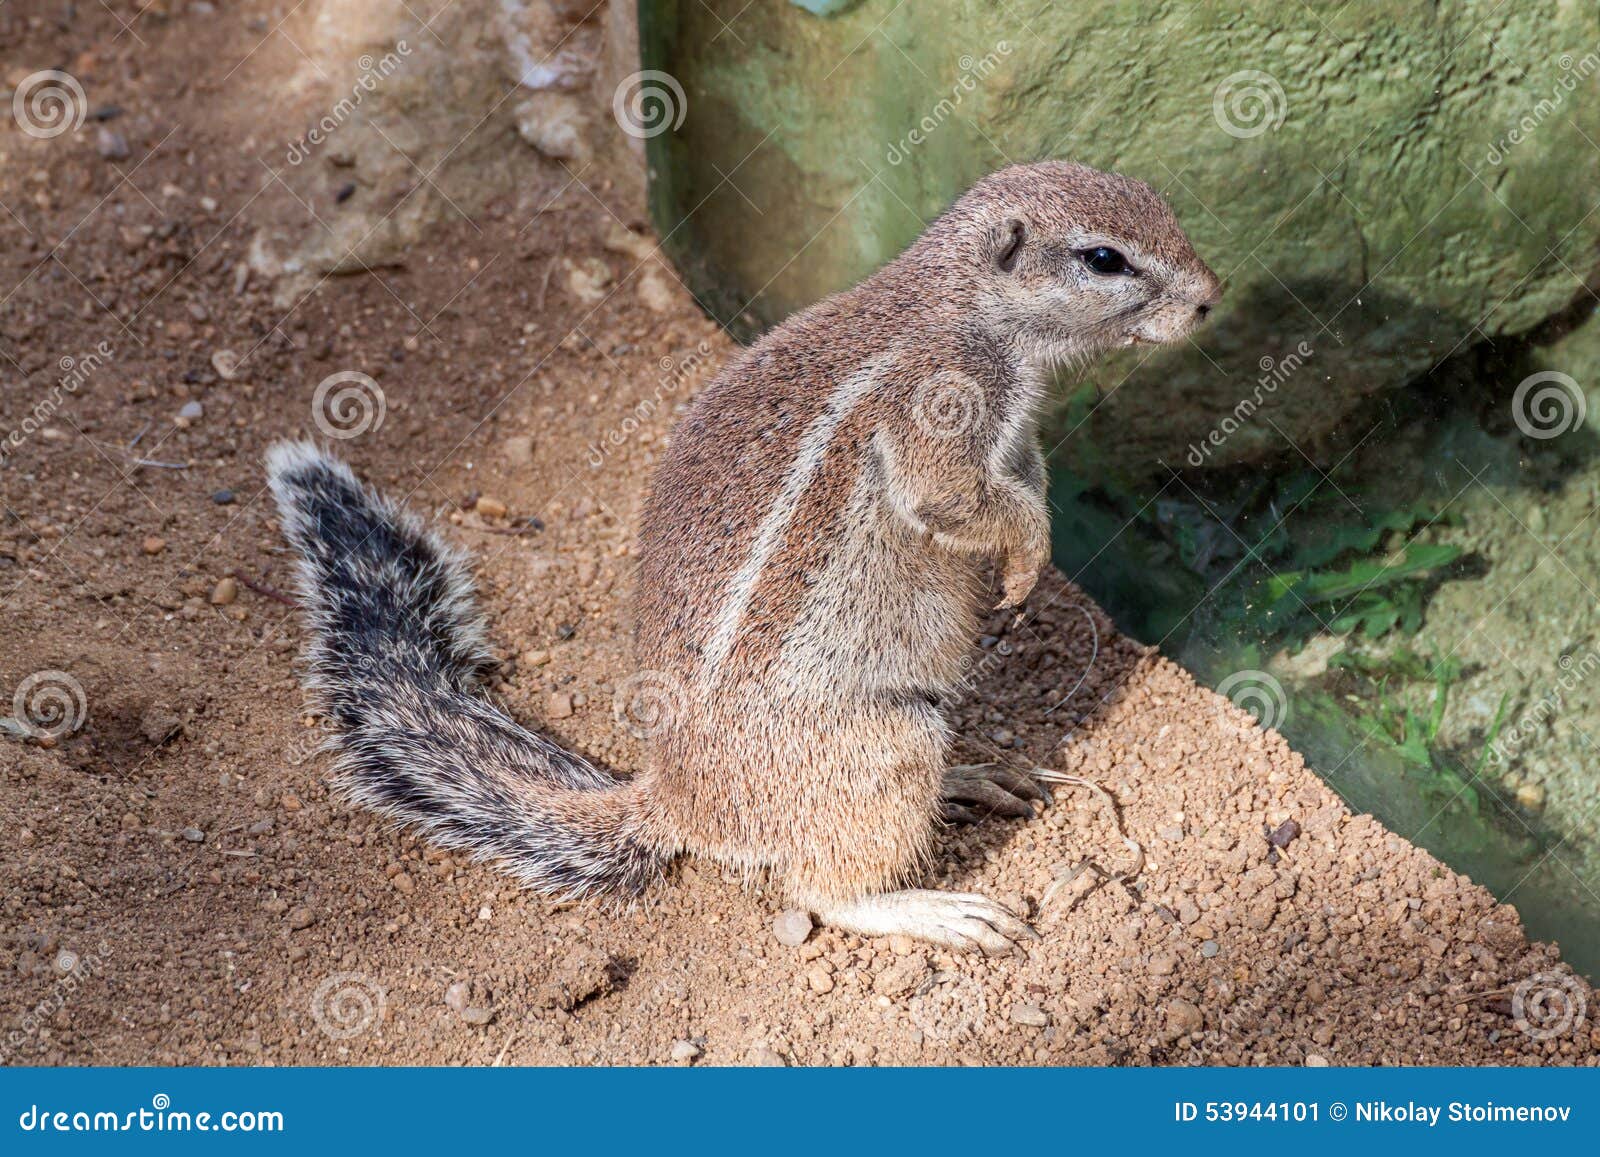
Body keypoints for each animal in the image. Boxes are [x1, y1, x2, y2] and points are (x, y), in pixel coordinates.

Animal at [266, 161, 1221, 953]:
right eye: (1103, 258)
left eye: (1159, 198)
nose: (1213, 296)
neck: (964, 306)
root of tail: (676, 799)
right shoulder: (939, 408)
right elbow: (959, 500)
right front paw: (1025, 563)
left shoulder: (1017, 440)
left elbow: (1028, 483)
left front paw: (1033, 548)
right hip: (885, 744)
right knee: (825, 888)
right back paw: (936, 907)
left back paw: (974, 774)